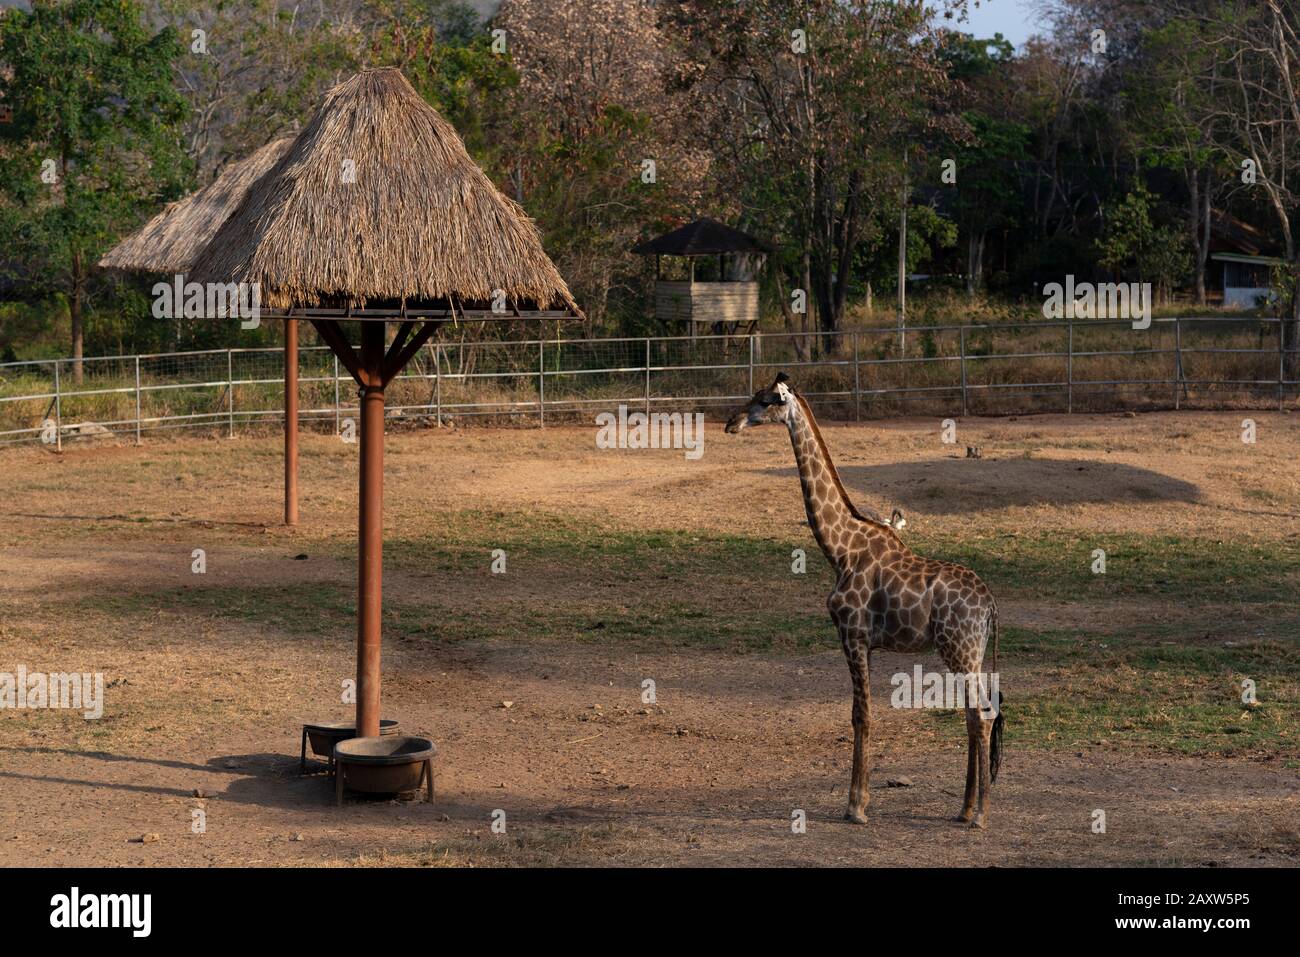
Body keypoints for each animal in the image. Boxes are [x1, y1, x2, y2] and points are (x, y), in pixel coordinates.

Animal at [726, 372, 1004, 828]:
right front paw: (861, 801)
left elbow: (861, 715)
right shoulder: (867, 644)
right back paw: (963, 809)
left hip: (960, 650)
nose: (730, 422)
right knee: (975, 713)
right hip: (971, 653)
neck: (839, 549)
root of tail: (992, 607)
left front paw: (855, 806)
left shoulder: (852, 634)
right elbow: (864, 714)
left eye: (765, 400)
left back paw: (980, 814)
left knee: (980, 715)